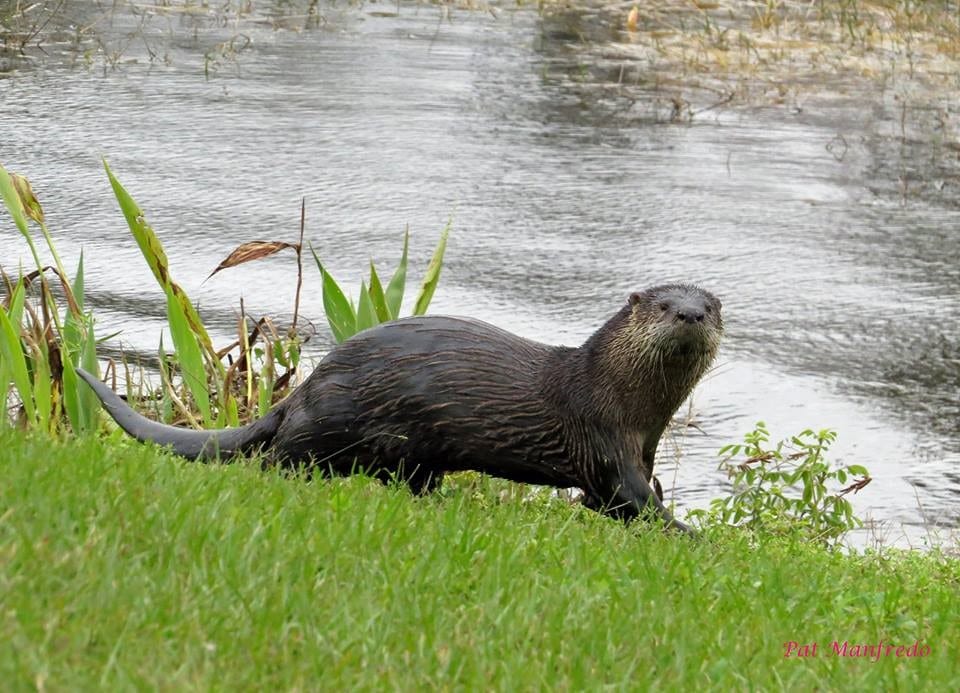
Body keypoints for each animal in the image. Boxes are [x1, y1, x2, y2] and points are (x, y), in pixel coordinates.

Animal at [77, 284, 722, 534]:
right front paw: (694, 537)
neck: (625, 399)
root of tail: (307, 388)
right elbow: (630, 501)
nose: (690, 314)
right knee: (277, 458)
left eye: (709, 307)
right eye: (664, 305)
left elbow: (619, 500)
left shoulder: (642, 445)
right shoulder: (603, 438)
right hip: (331, 426)